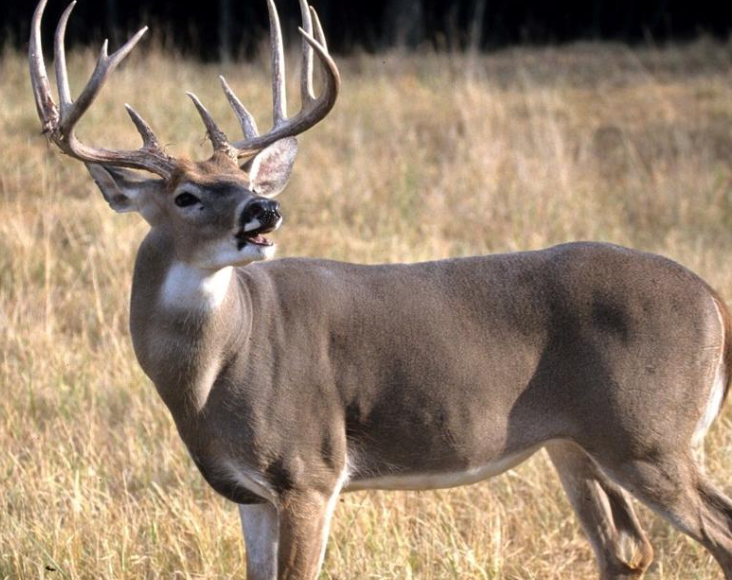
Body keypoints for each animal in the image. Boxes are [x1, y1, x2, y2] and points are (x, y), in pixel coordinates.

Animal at [28, 0, 732, 578]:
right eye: (186, 195)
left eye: (245, 178)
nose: (265, 210)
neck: (215, 373)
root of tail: (713, 299)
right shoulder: (248, 493)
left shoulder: (310, 468)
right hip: (575, 443)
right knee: (626, 549)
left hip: (648, 432)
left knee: (712, 533)